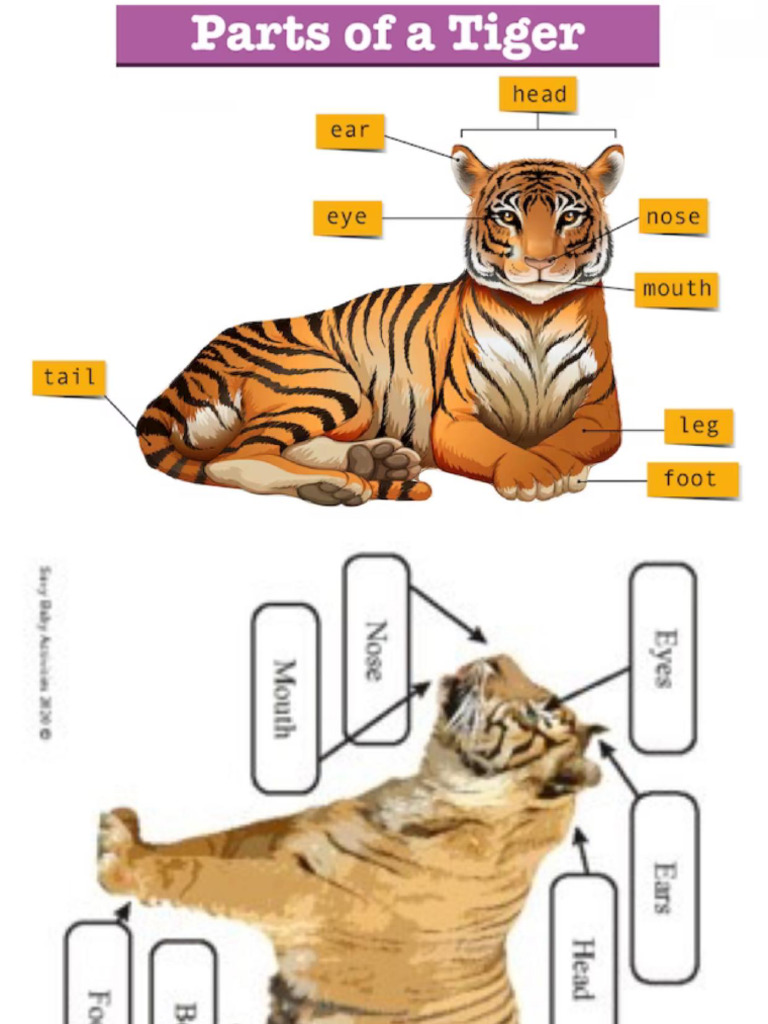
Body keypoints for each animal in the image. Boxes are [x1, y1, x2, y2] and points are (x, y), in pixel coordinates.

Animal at [98, 653, 604, 1024]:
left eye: (535, 714)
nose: (497, 656)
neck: (432, 785)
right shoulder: (290, 833)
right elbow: (207, 846)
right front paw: (130, 829)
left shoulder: (308, 894)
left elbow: (210, 876)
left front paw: (118, 861)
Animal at [137, 145, 624, 504]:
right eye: (508, 217)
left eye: (569, 216)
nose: (541, 263)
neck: (536, 314)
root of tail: (192, 367)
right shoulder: (454, 419)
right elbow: (505, 448)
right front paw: (536, 475)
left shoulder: (600, 413)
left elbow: (562, 441)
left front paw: (561, 469)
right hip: (329, 382)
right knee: (233, 457)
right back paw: (344, 483)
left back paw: (374, 462)